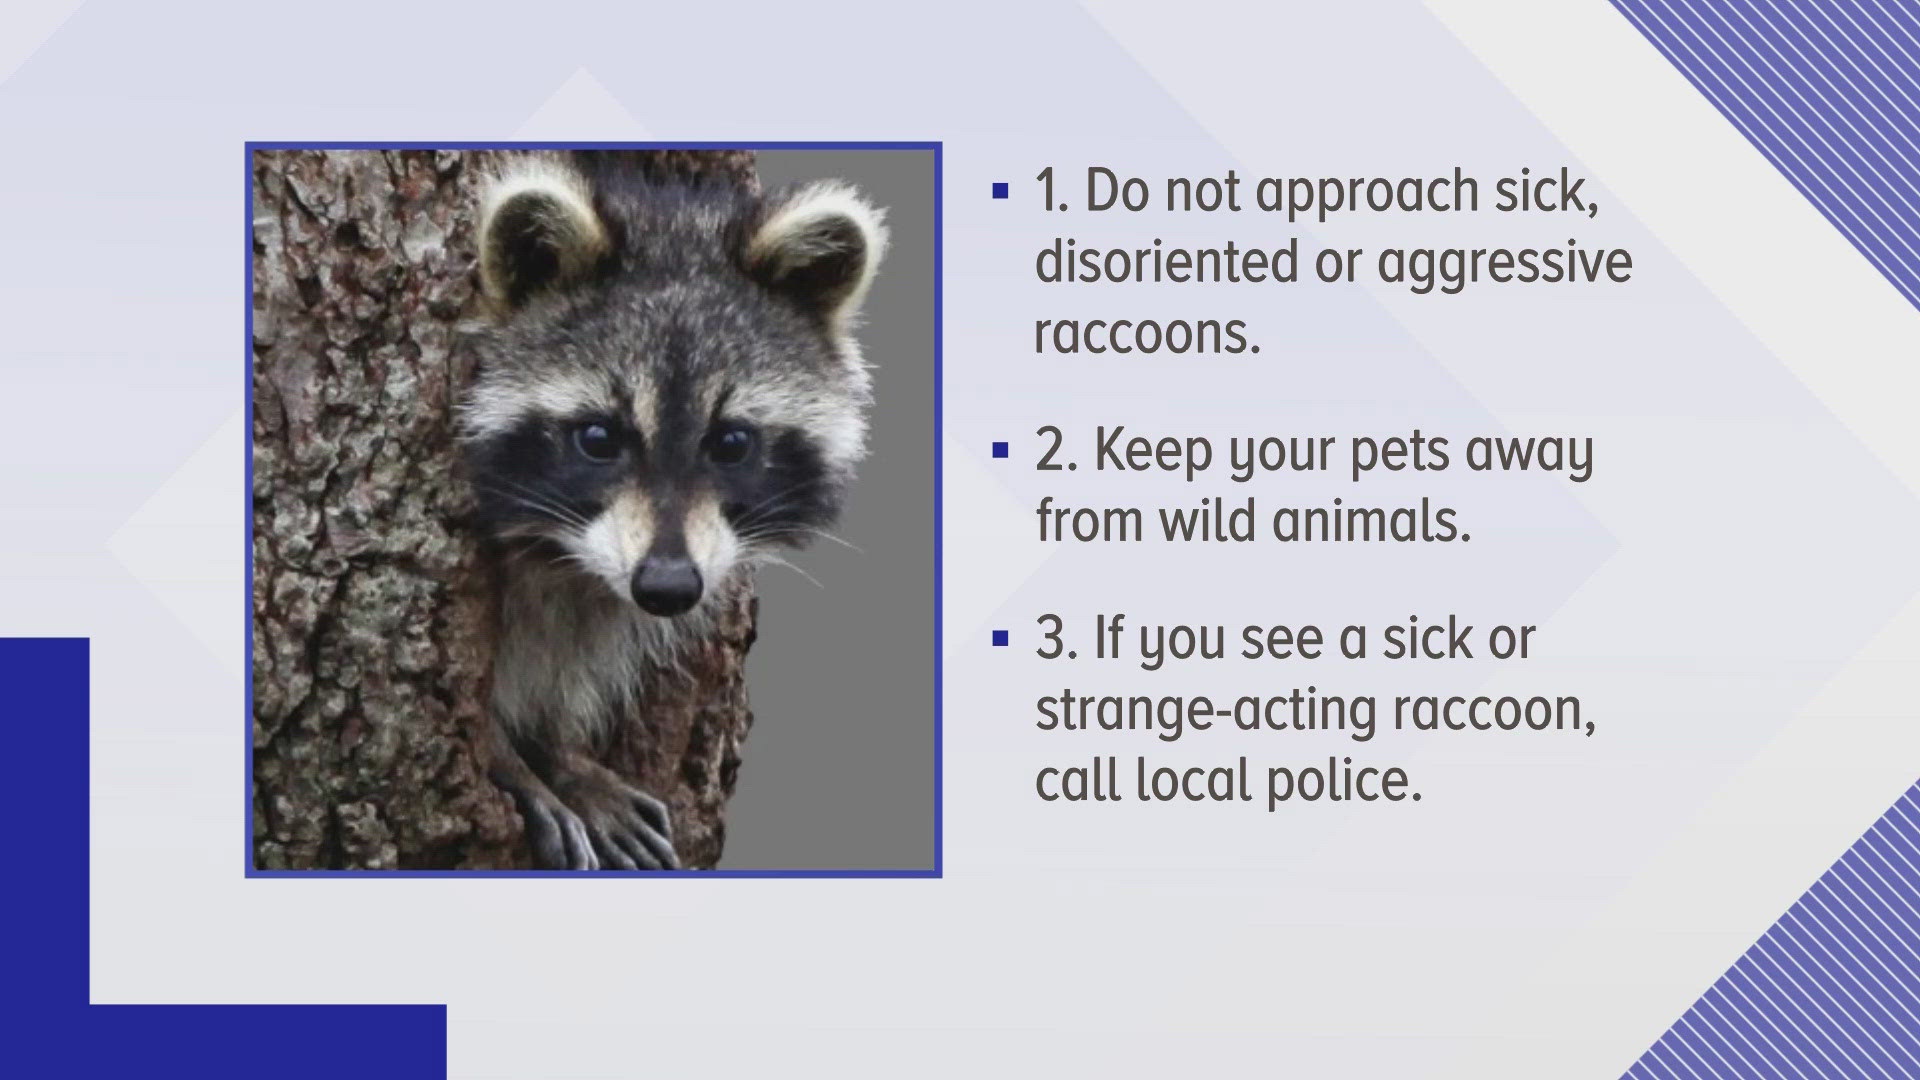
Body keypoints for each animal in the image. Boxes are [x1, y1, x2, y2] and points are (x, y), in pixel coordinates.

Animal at [457, 152, 887, 870]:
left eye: (732, 442)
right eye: (598, 438)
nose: (666, 585)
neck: (561, 557)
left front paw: (558, 750)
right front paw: (506, 757)